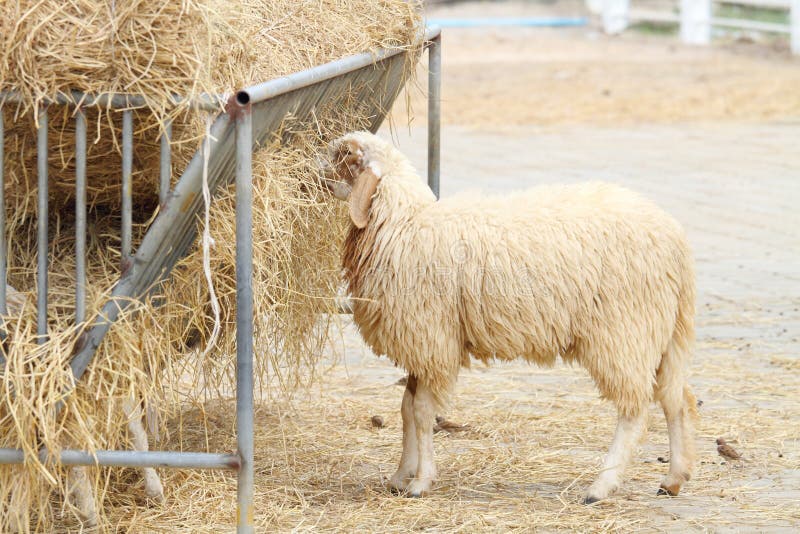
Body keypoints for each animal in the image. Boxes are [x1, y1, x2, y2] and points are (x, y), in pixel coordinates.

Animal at [323, 131, 698, 501]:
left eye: (344, 156)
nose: (313, 174)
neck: (403, 223)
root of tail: (675, 239)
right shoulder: (421, 344)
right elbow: (406, 409)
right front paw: (401, 476)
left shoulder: (432, 339)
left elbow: (421, 412)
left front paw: (420, 481)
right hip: (664, 332)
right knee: (675, 398)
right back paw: (673, 478)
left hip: (623, 331)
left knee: (634, 409)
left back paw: (601, 486)